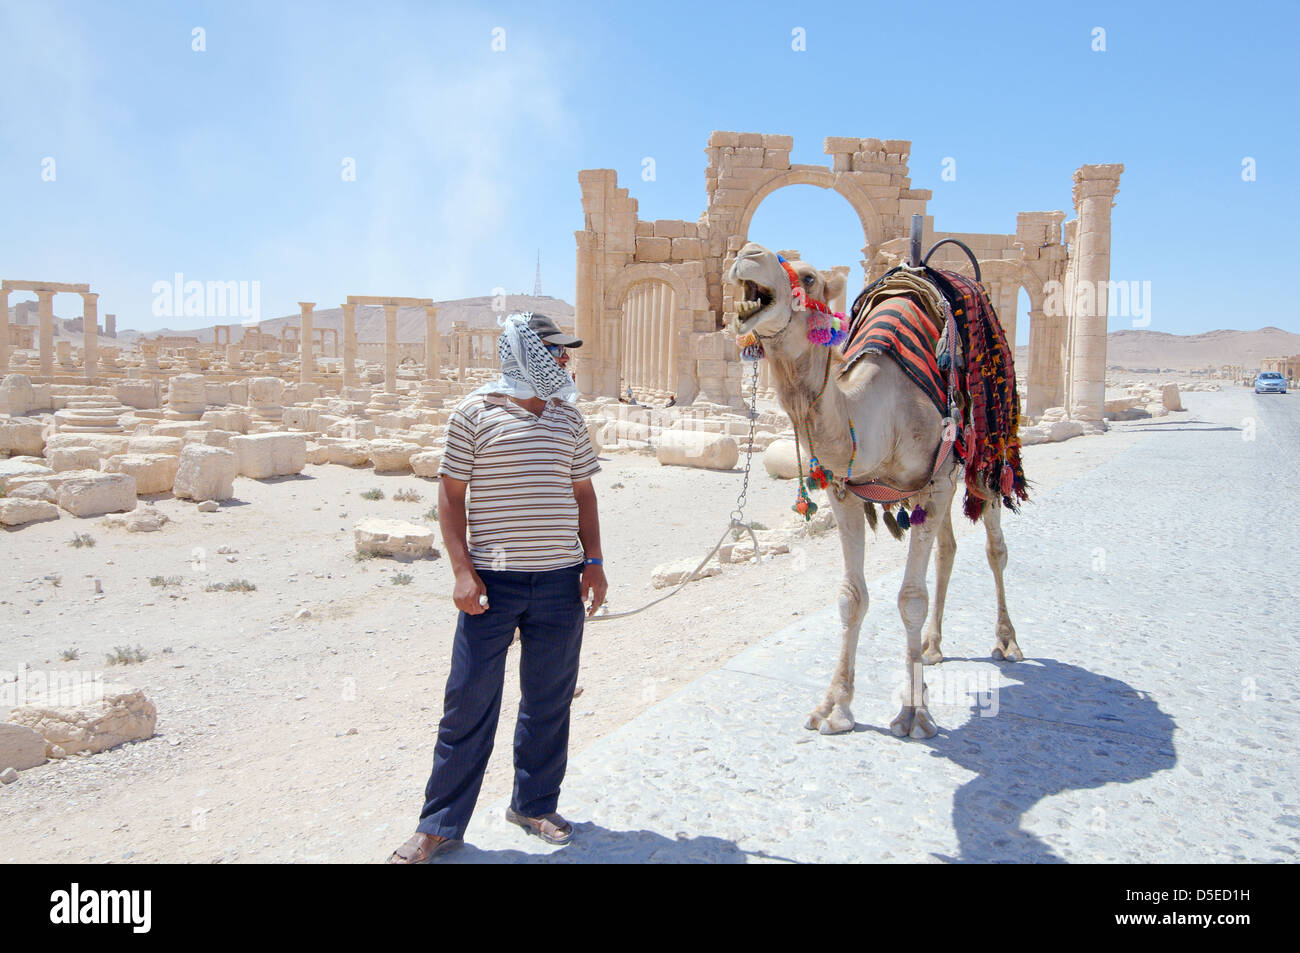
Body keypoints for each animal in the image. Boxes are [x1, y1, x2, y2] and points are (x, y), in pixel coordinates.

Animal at [726, 242, 1021, 739]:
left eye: (809, 277)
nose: (746, 252)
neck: (878, 411)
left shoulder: (935, 482)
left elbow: (910, 598)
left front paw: (915, 714)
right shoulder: (845, 491)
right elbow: (851, 596)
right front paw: (834, 708)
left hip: (983, 453)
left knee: (995, 546)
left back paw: (1007, 642)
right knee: (947, 550)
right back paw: (933, 646)